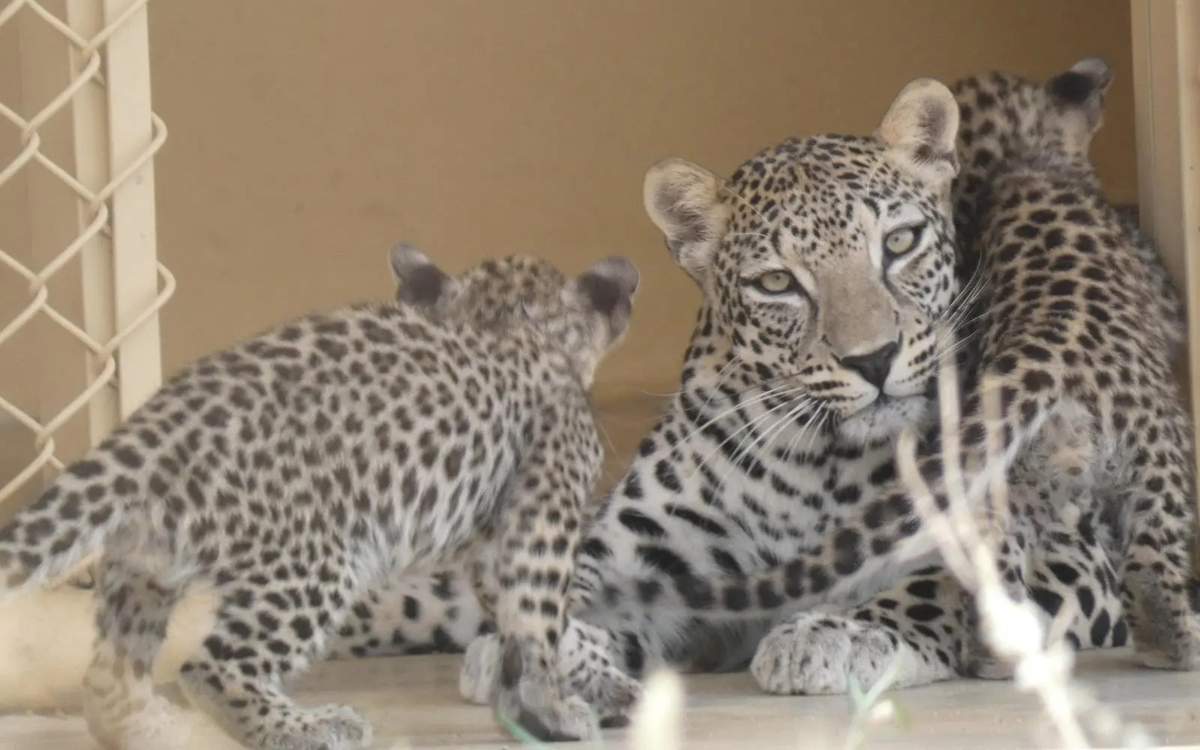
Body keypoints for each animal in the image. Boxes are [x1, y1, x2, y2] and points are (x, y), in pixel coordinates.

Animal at [0, 244, 640, 748]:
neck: (509, 321)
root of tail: (150, 434)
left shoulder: (494, 544)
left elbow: (547, 625)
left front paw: (593, 686)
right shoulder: (544, 512)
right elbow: (540, 620)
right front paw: (558, 709)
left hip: (143, 568)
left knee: (108, 682)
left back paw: (157, 730)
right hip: (315, 562)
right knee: (212, 668)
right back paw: (309, 727)